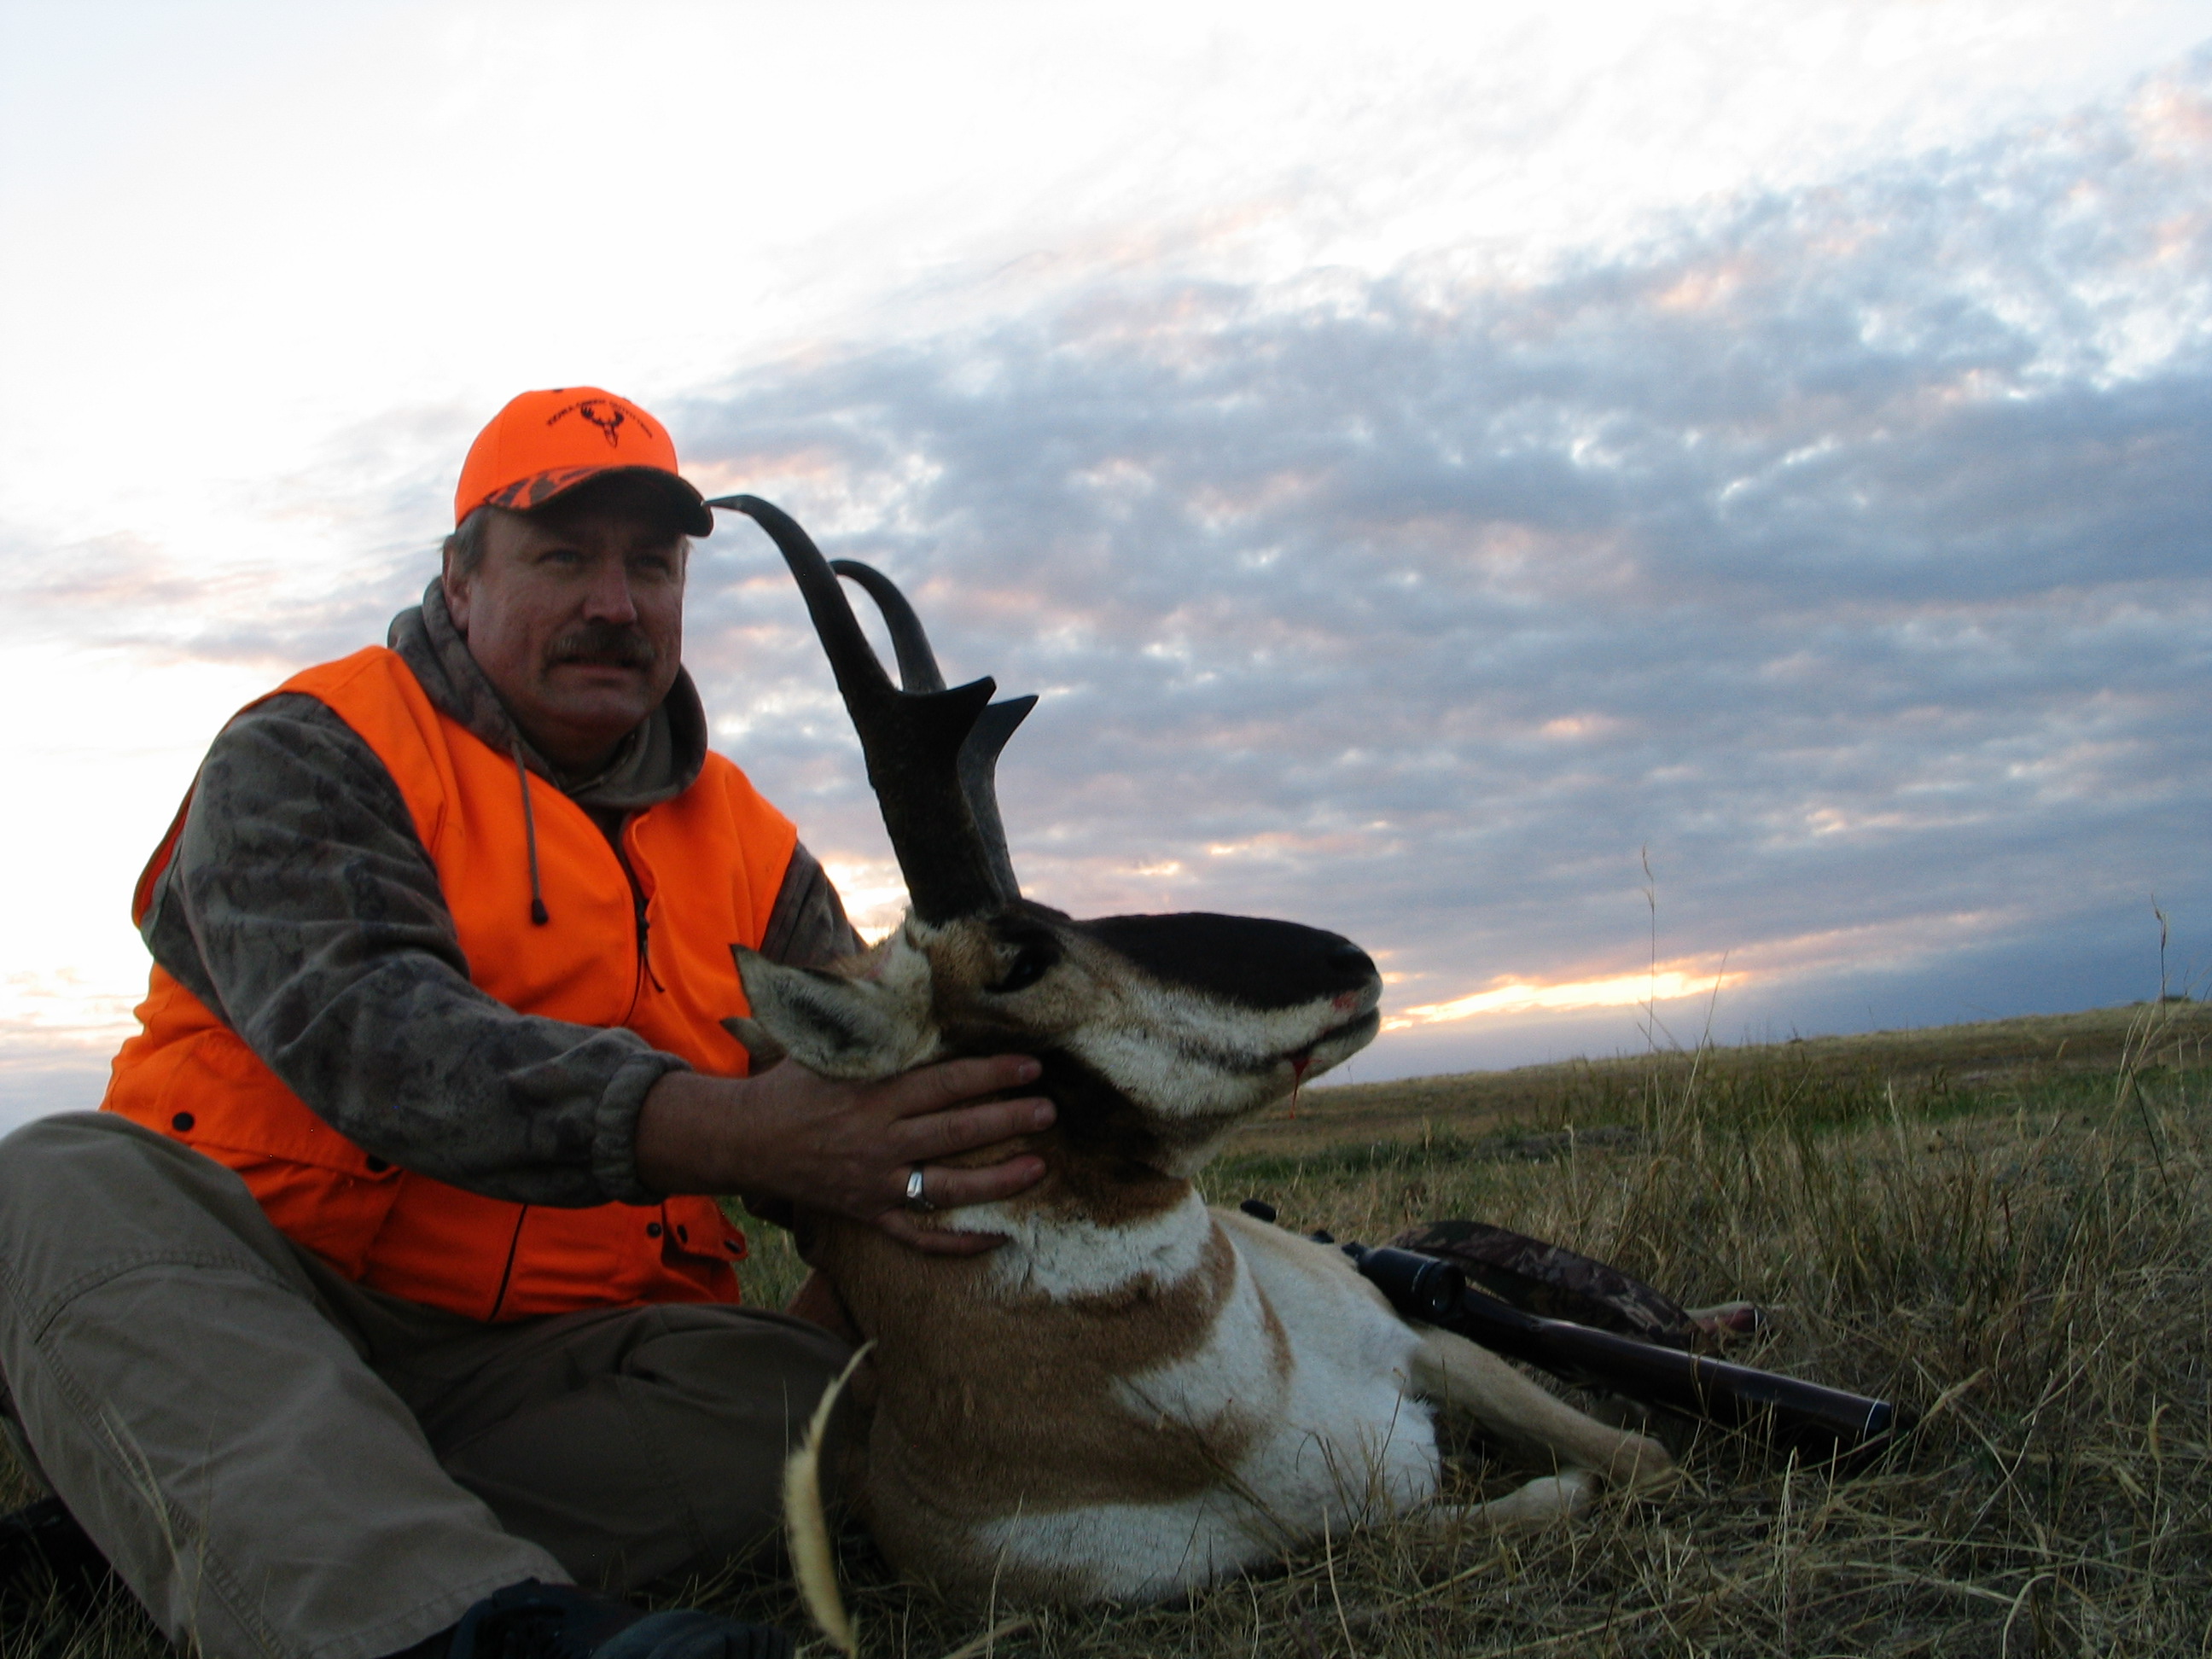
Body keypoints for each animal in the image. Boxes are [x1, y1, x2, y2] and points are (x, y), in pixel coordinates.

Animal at [710, 496, 1674, 1607]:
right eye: (1021, 958)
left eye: (1055, 910)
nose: (1352, 961)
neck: (1244, 1422)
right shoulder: (1347, 1534)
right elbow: (1561, 1493)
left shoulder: (1423, 1338)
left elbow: (1640, 1459)